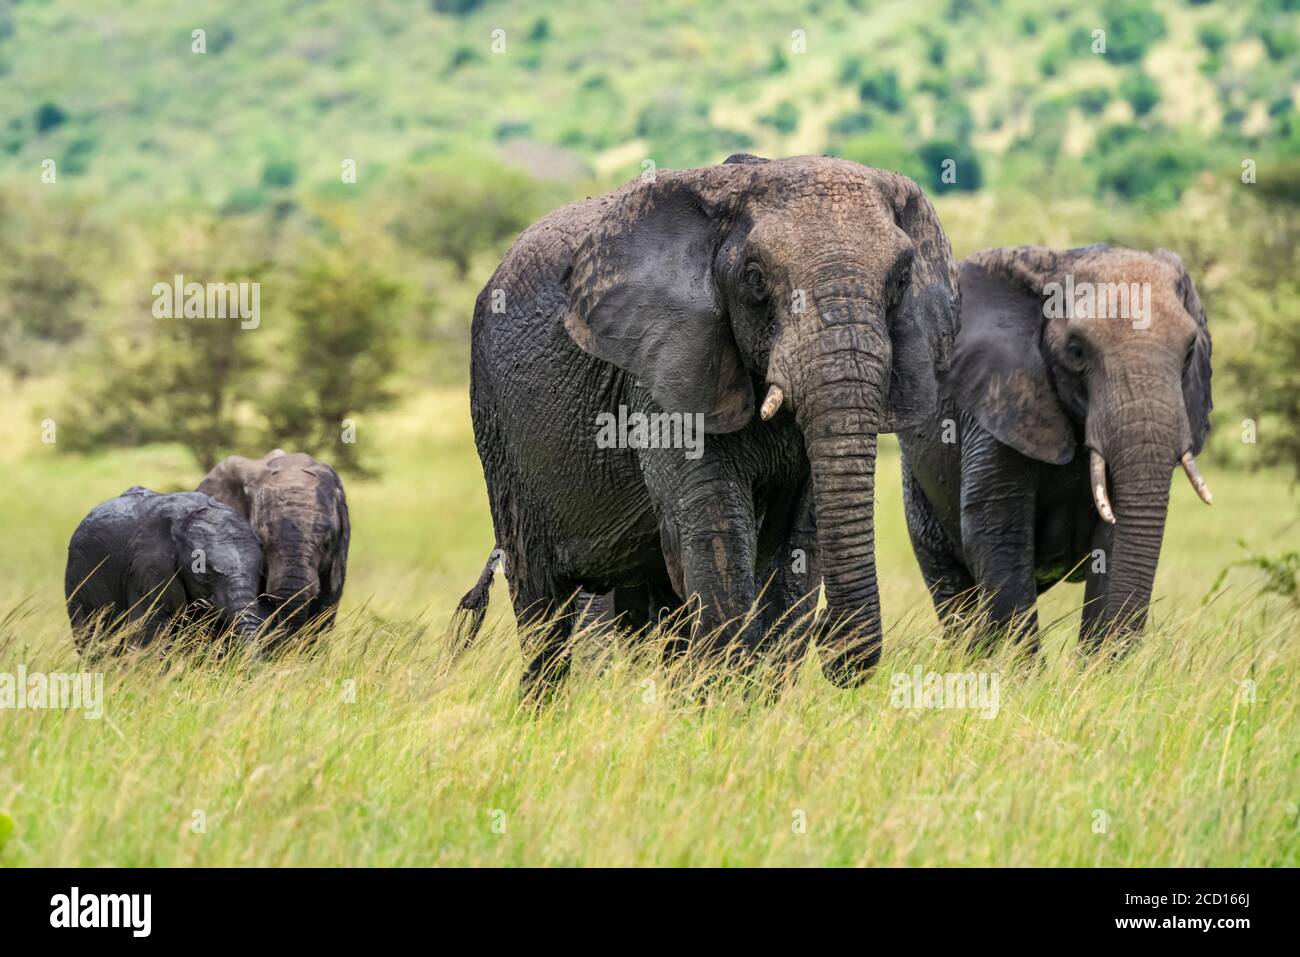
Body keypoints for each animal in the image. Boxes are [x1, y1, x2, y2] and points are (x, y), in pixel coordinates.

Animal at [455, 154, 958, 695]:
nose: (832, 635)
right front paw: (722, 702)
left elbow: (799, 538)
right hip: (497, 424)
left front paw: (752, 698)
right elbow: (715, 524)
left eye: (902, 280)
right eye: (755, 278)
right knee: (541, 601)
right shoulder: (662, 370)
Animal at [898, 244, 1213, 651]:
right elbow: (997, 529)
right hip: (917, 488)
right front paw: (1016, 666)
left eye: (1190, 352)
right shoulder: (997, 401)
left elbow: (1116, 538)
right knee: (952, 587)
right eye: (1076, 351)